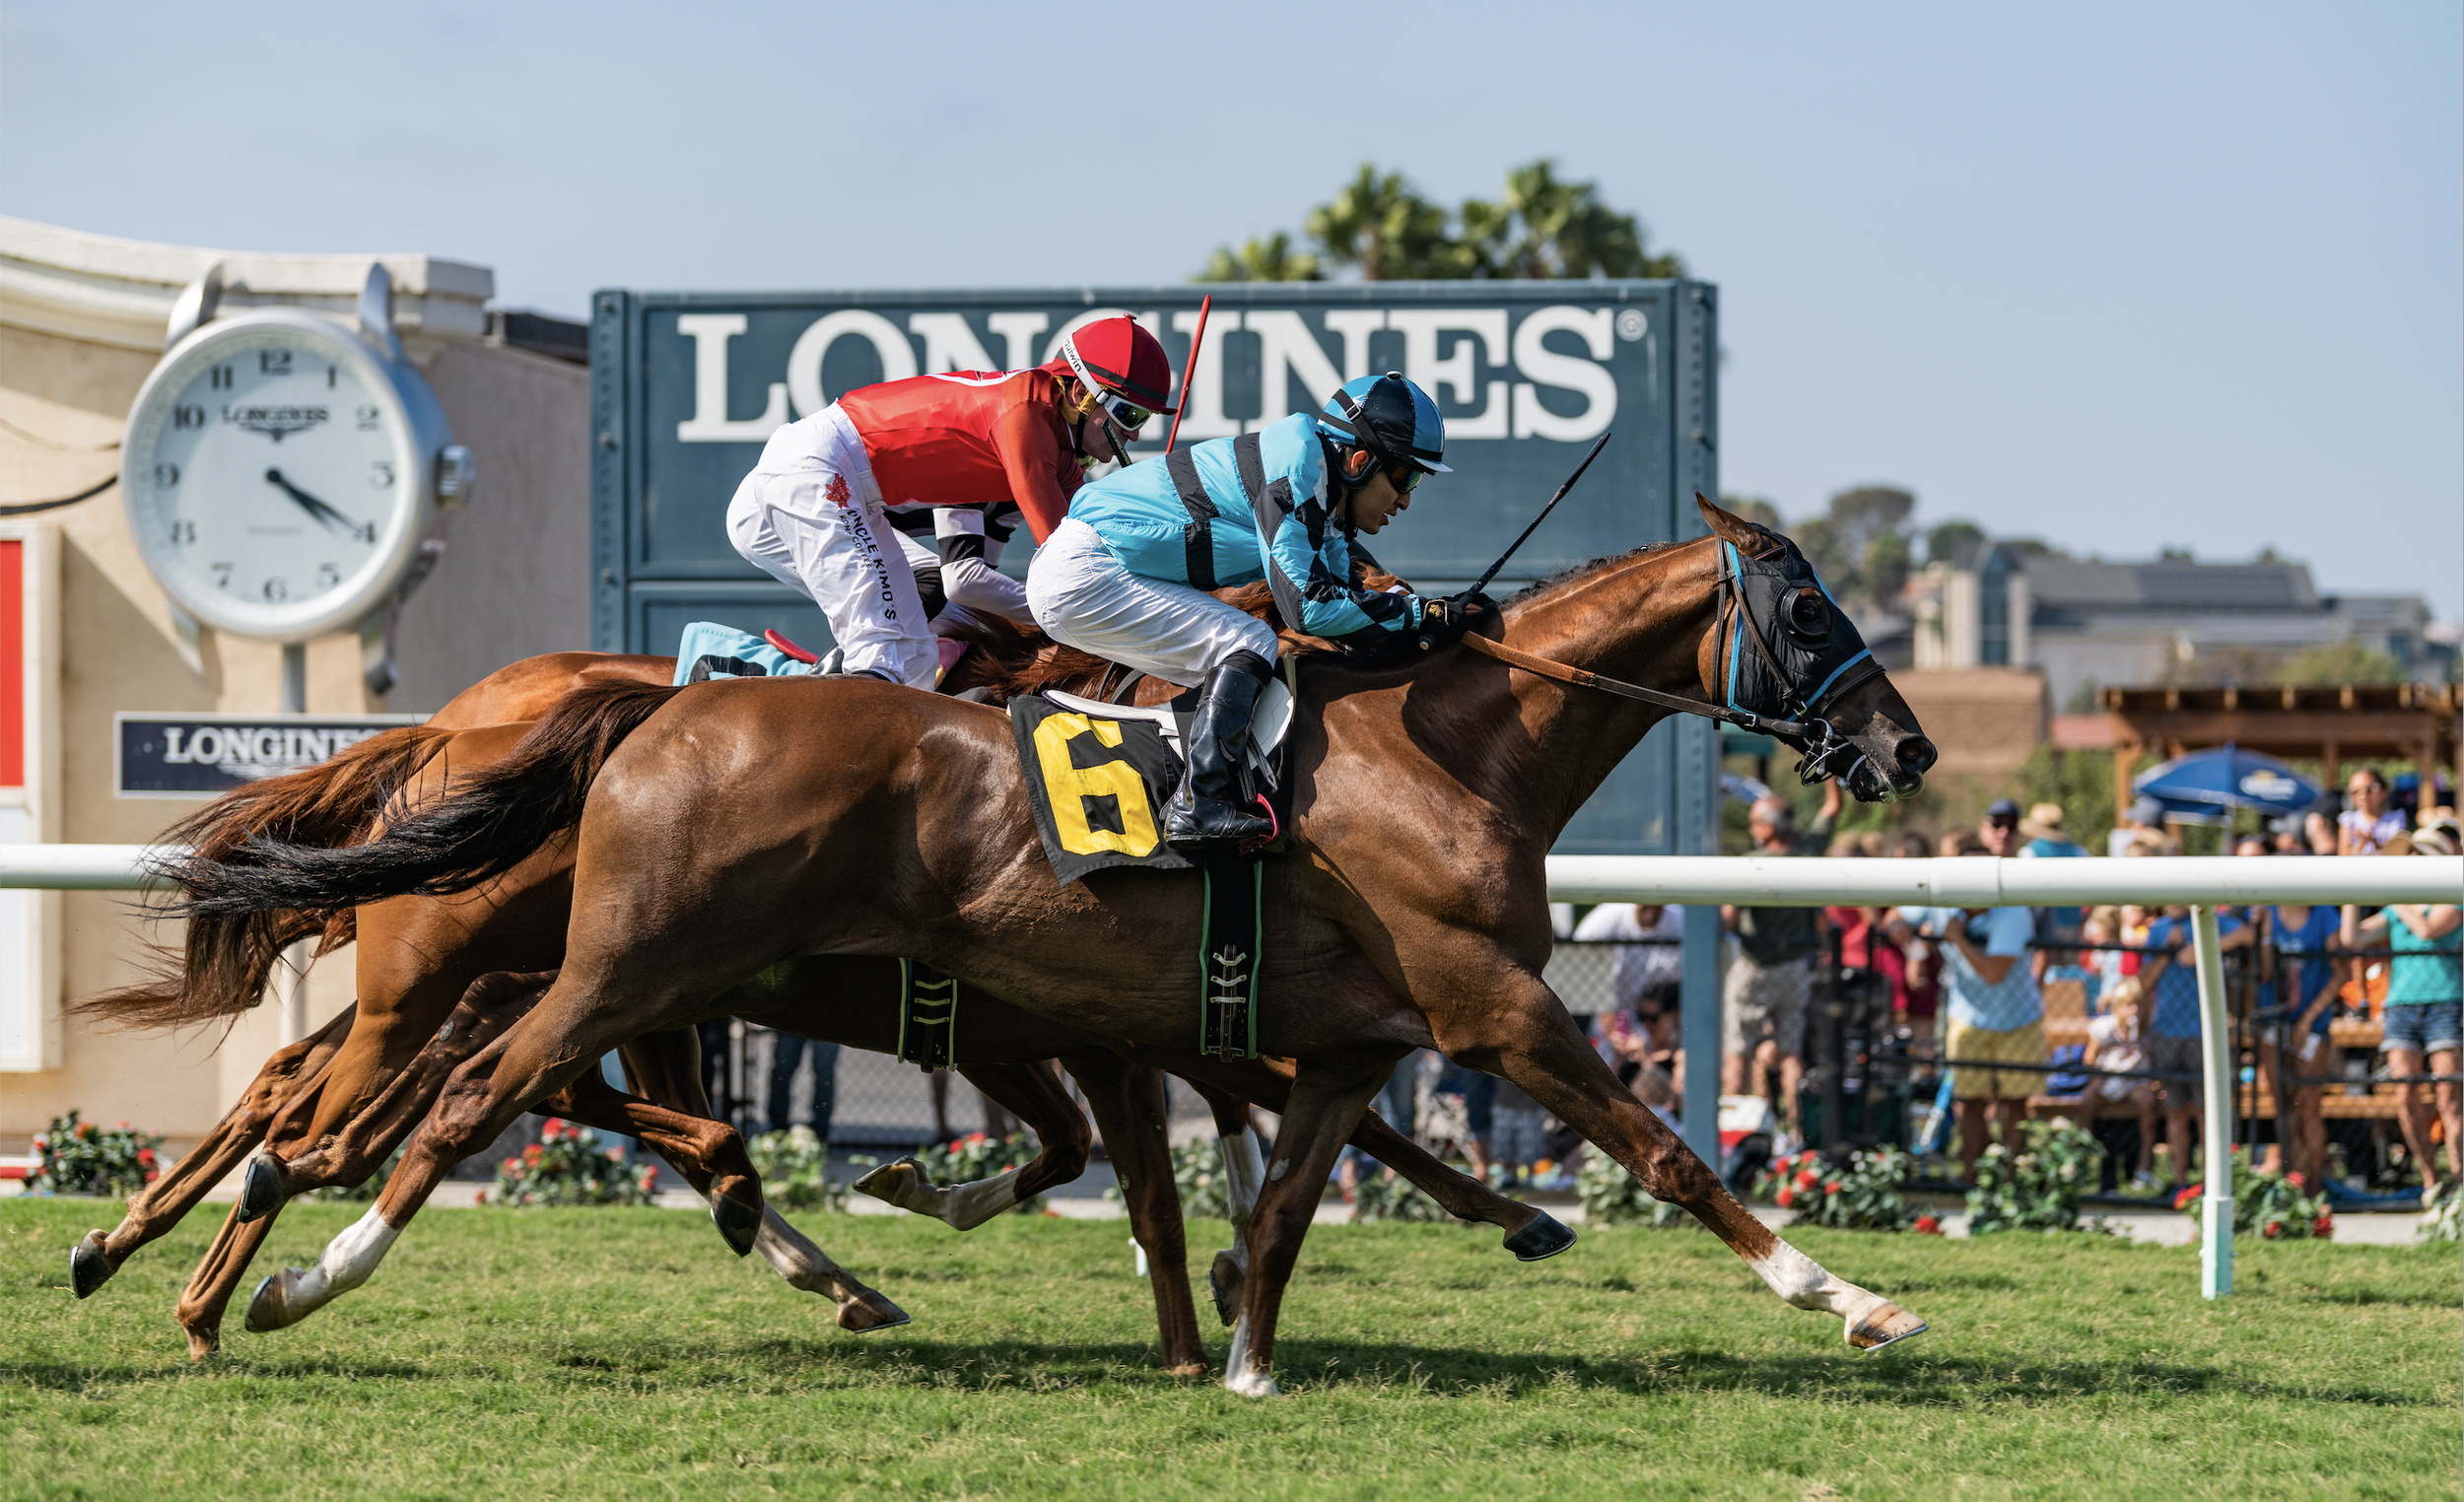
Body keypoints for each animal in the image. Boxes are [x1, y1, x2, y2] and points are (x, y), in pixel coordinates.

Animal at [163, 498, 1939, 1395]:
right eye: (1805, 606)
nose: (1906, 746)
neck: (1449, 747)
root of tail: (655, 707)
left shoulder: (1328, 1034)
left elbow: (1271, 1191)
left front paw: (1238, 1354)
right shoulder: (1489, 1010)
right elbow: (1669, 1149)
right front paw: (1847, 1298)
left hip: (620, 979)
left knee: (415, 1099)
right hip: (603, 967)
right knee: (446, 1106)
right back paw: (286, 1278)